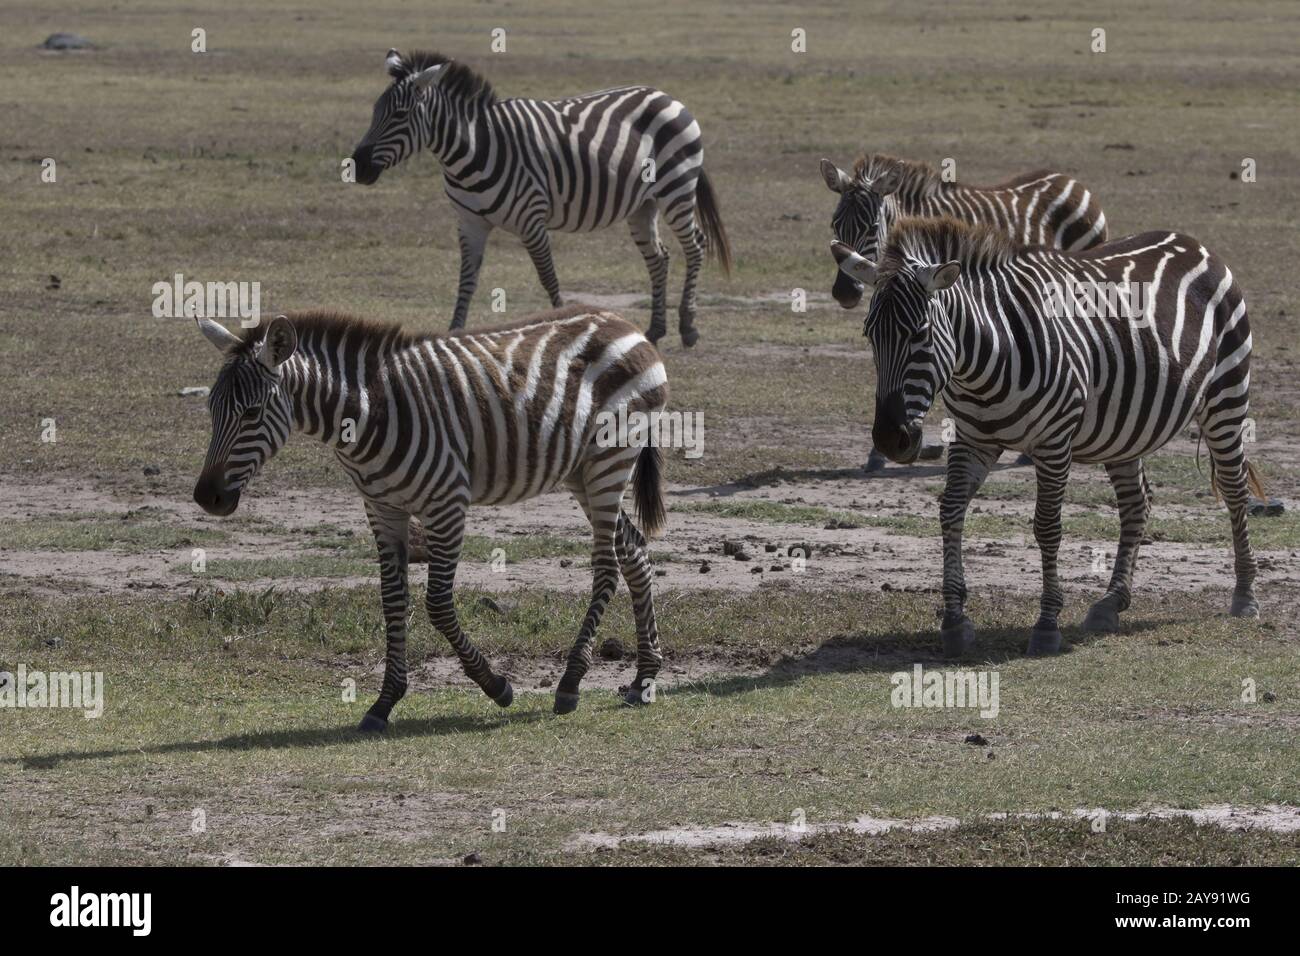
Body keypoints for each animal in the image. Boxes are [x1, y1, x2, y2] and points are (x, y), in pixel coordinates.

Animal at [192, 305, 669, 727]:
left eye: (252, 412)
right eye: (211, 409)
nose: (206, 498)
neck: (369, 411)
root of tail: (625, 324)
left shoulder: (447, 505)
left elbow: (437, 604)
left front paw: (497, 687)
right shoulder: (382, 508)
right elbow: (392, 600)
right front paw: (384, 703)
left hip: (610, 459)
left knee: (607, 565)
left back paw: (570, 683)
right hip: (581, 472)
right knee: (634, 552)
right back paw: (644, 678)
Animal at [349, 49, 732, 347]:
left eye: (399, 115)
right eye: (374, 110)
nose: (357, 166)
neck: (473, 151)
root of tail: (667, 96)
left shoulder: (531, 220)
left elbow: (549, 277)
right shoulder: (470, 223)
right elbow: (466, 280)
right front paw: (453, 333)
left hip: (676, 189)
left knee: (695, 246)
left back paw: (688, 327)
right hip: (643, 204)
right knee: (659, 257)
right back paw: (655, 330)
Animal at [831, 216, 1263, 658]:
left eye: (920, 333)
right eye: (869, 334)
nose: (889, 439)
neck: (984, 360)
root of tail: (1194, 243)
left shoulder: (1054, 442)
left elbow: (1047, 526)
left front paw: (1046, 624)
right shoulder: (972, 439)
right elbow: (950, 510)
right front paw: (954, 620)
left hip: (1227, 395)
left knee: (1234, 490)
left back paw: (1245, 595)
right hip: (1125, 430)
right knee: (1136, 505)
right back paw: (1111, 603)